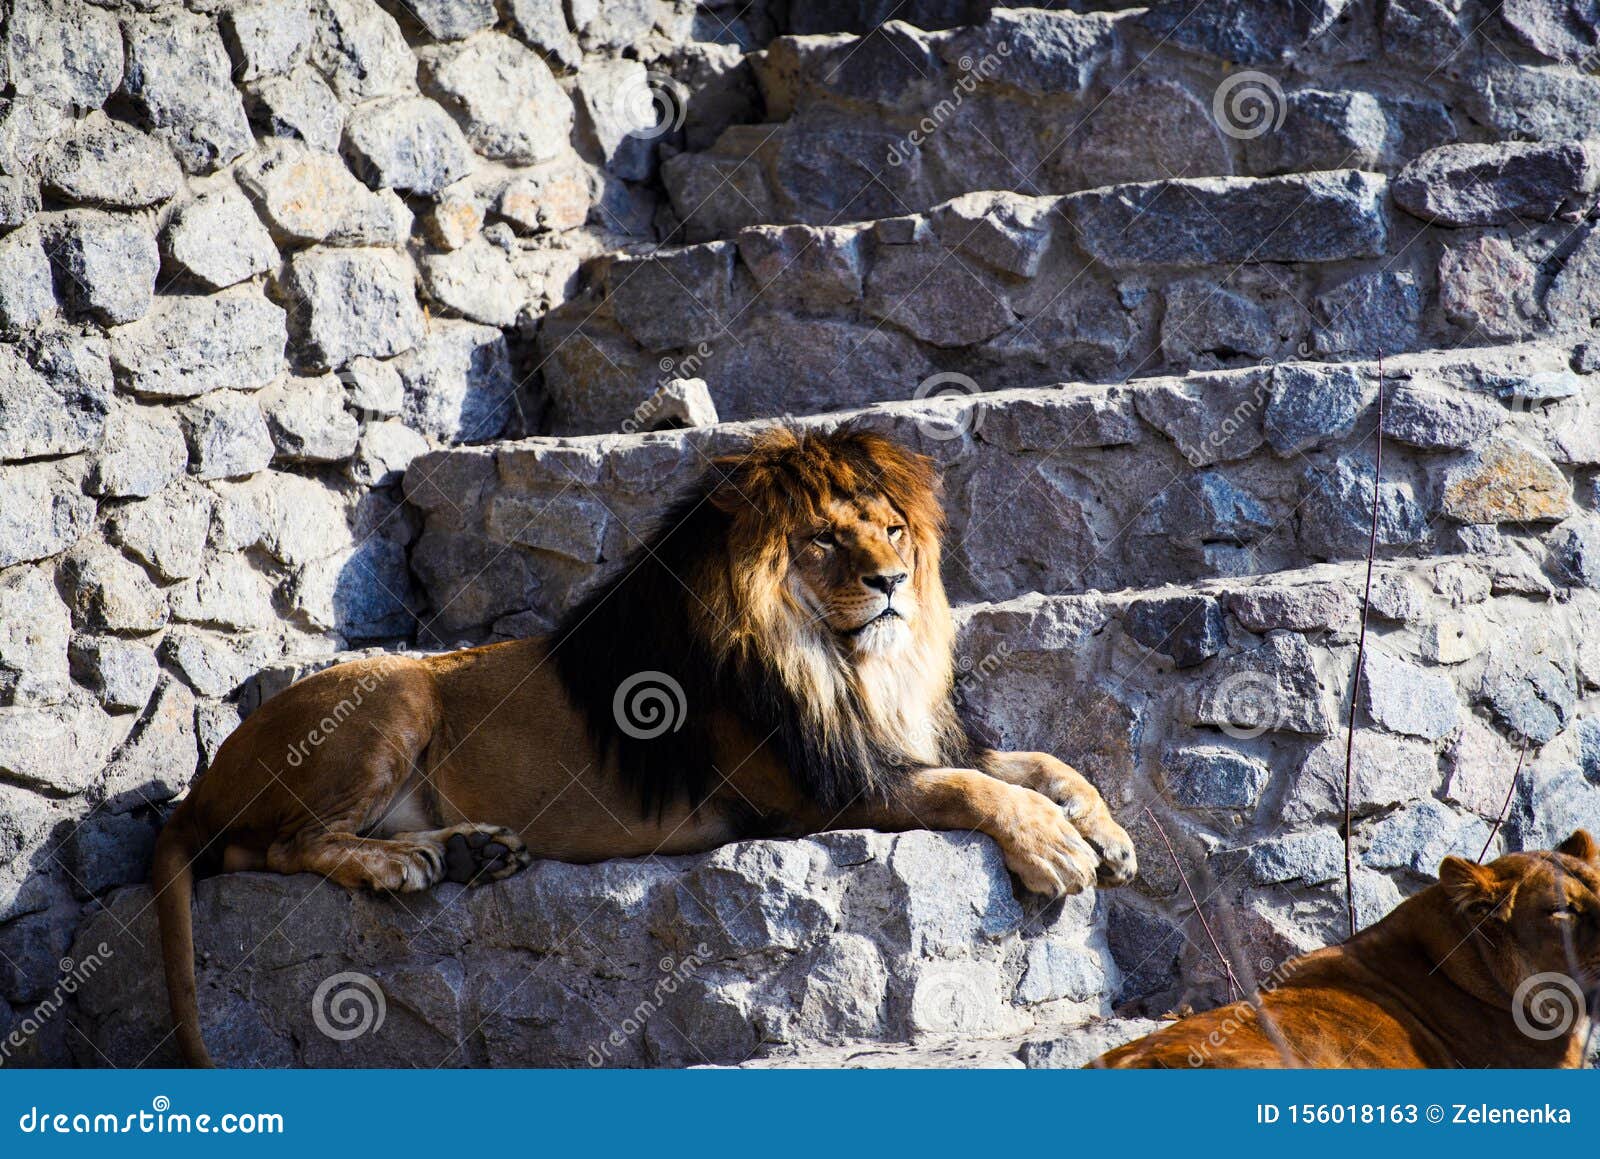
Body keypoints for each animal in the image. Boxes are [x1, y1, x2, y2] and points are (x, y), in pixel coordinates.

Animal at [153, 425, 1136, 1066]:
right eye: (824, 537)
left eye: (892, 529)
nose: (893, 580)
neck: (841, 663)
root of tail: (195, 788)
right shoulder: (813, 793)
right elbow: (971, 786)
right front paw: (1055, 846)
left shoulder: (880, 743)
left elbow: (1034, 760)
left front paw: (1108, 832)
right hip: (392, 690)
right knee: (276, 846)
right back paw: (401, 864)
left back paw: (471, 851)